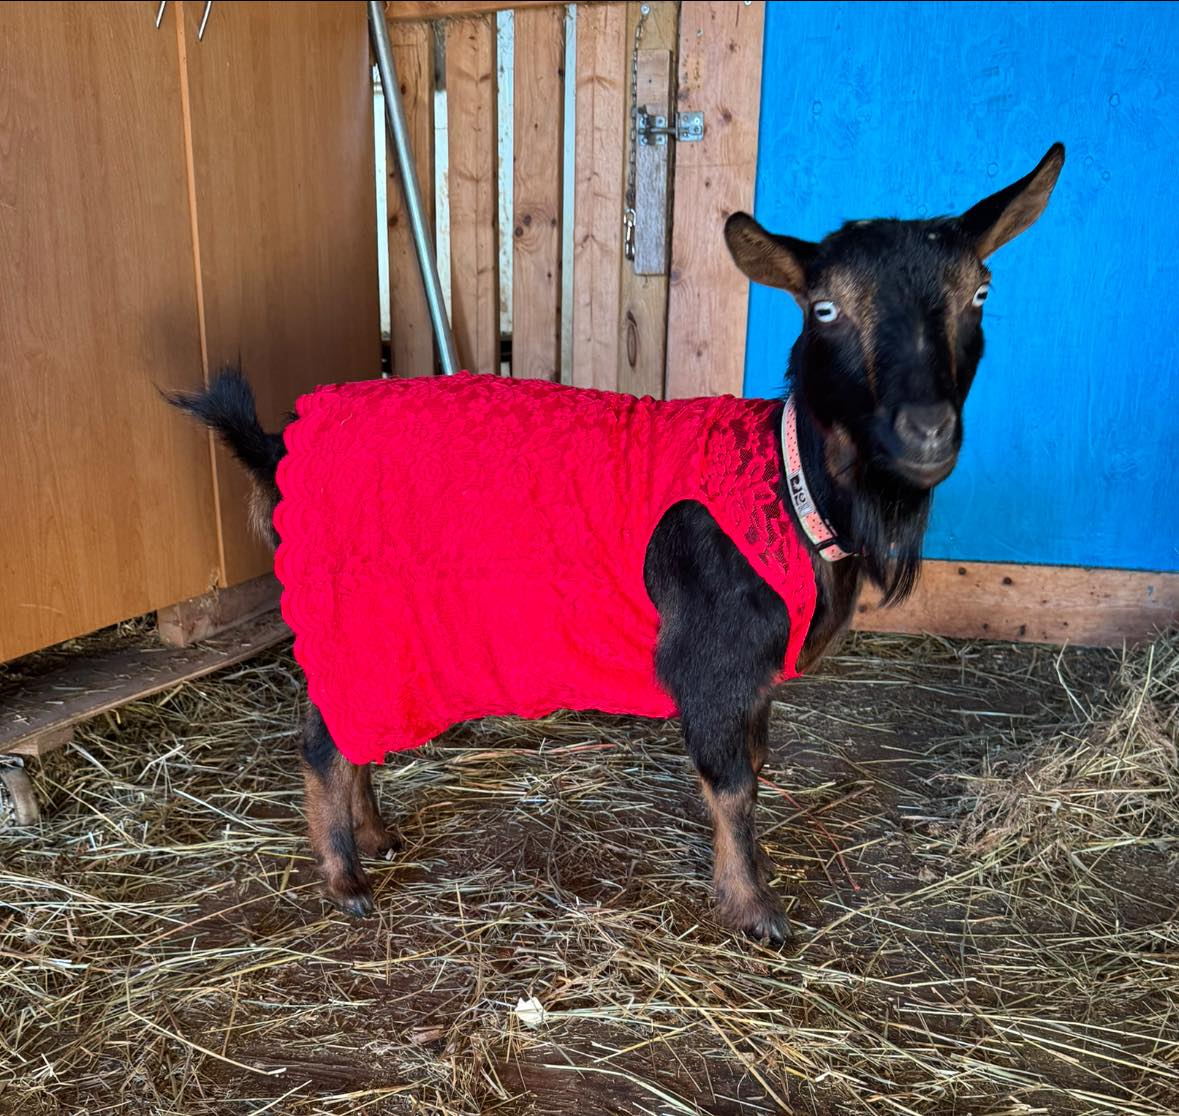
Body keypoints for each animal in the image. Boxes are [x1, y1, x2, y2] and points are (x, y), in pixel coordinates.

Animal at [171, 144, 1064, 942]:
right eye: (823, 309)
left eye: (980, 293)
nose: (925, 430)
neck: (787, 487)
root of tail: (283, 444)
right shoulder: (710, 660)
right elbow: (734, 788)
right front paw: (753, 908)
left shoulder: (755, 679)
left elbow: (757, 764)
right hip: (349, 610)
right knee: (323, 740)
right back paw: (344, 878)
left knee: (353, 728)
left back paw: (379, 837)